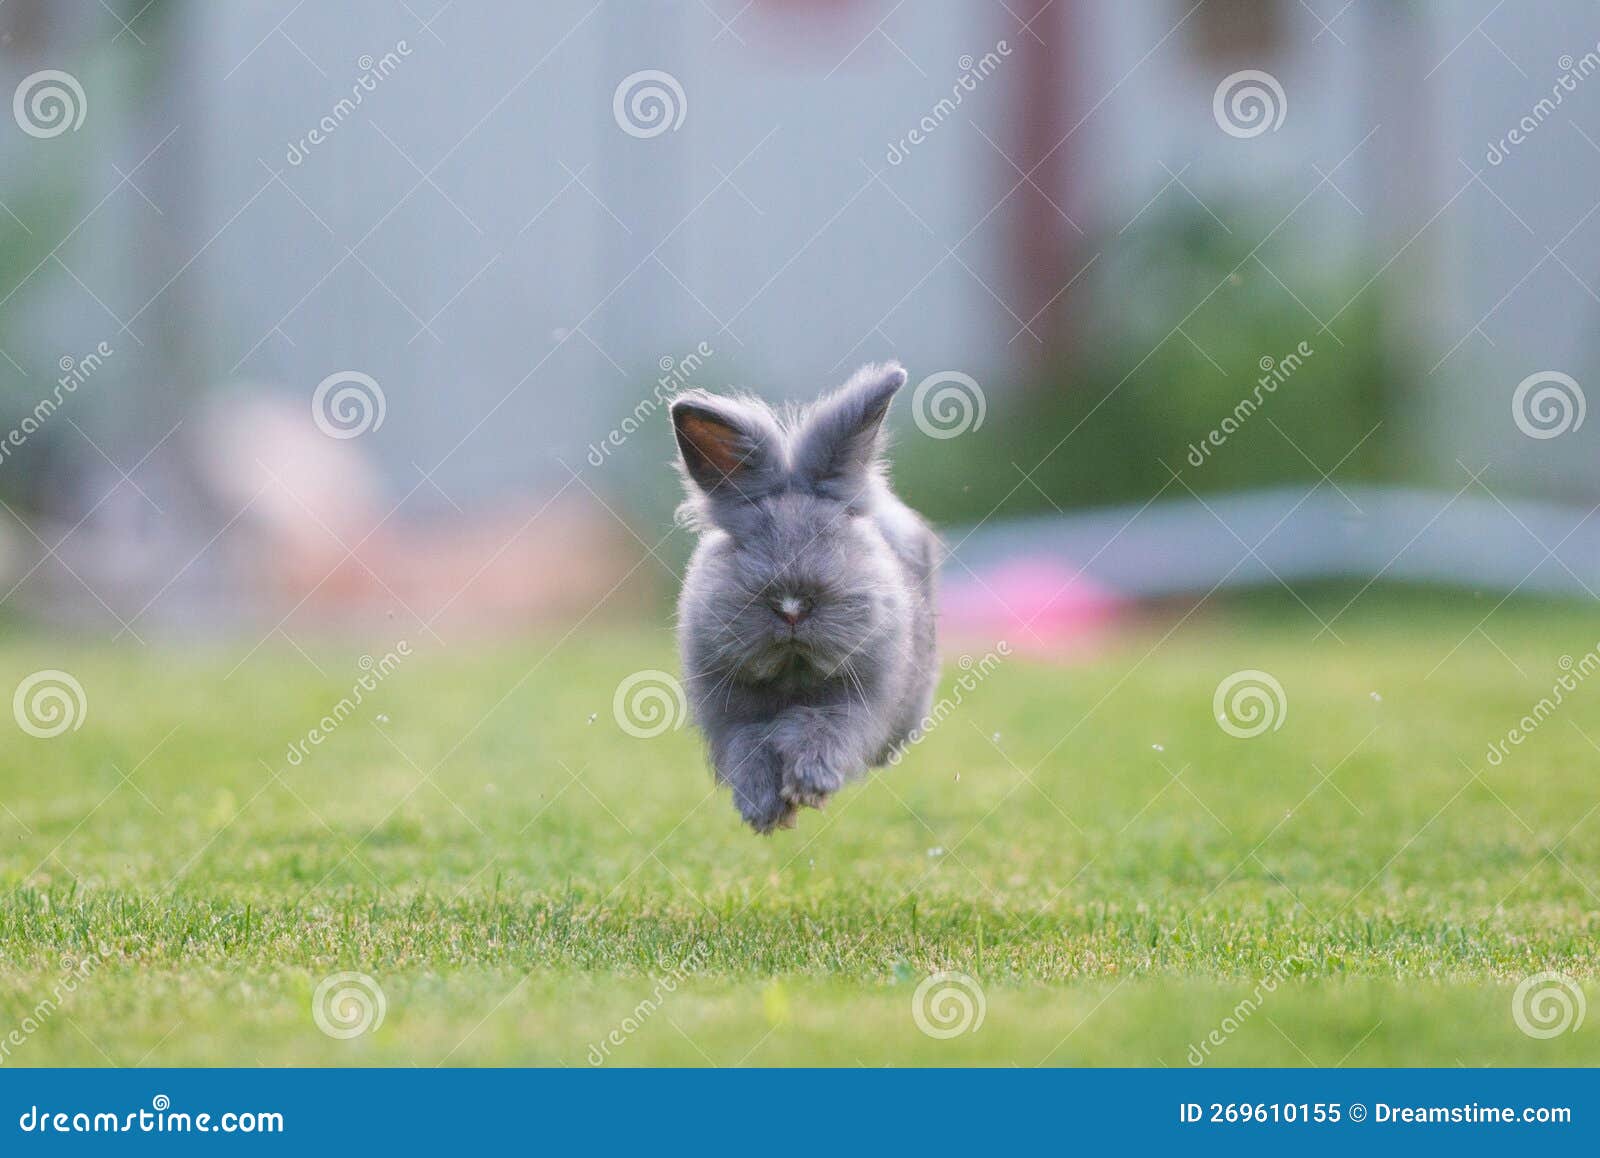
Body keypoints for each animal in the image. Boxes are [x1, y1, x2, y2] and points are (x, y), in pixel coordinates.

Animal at [670, 362, 941, 833]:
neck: (793, 669)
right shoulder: (734, 719)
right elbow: (750, 751)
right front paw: (763, 810)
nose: (792, 606)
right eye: (746, 541)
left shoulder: (855, 703)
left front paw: (808, 784)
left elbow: (821, 730)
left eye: (832, 534)